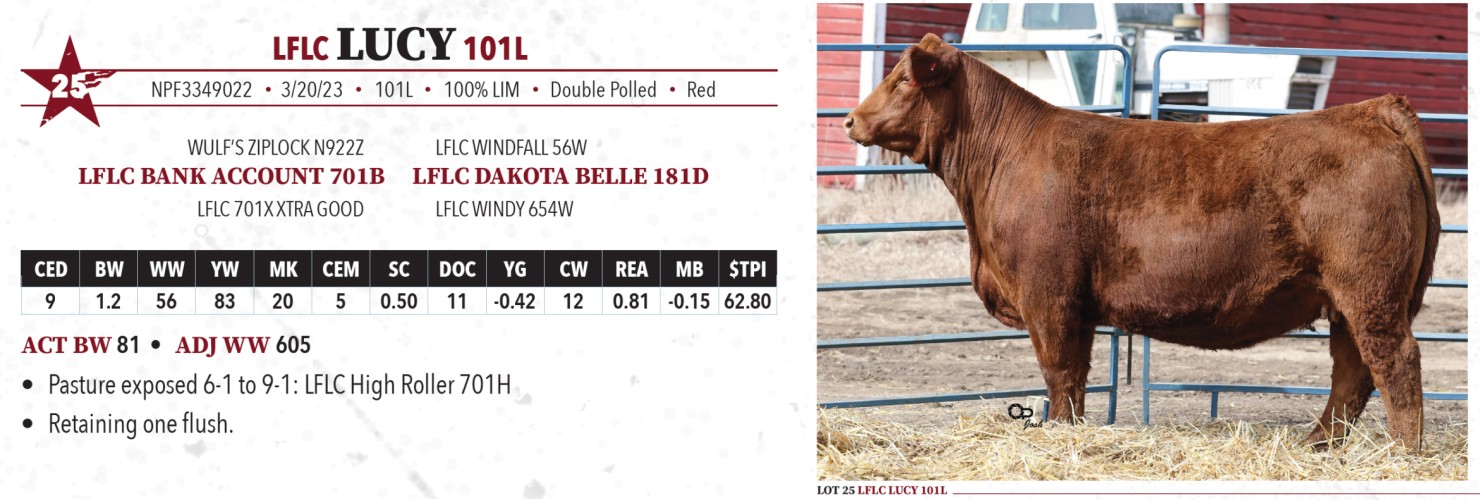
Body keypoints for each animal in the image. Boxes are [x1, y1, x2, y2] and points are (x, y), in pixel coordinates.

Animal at [844, 34, 1439, 450]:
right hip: (1346, 297)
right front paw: (1073, 432)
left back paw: (1401, 454)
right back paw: (1318, 445)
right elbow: (1076, 379)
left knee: (1395, 363)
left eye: (904, 80)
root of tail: (1371, 110)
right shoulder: (1077, 305)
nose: (850, 119)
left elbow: (1057, 371)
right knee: (1352, 372)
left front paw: (1059, 435)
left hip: (1370, 290)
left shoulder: (1047, 294)